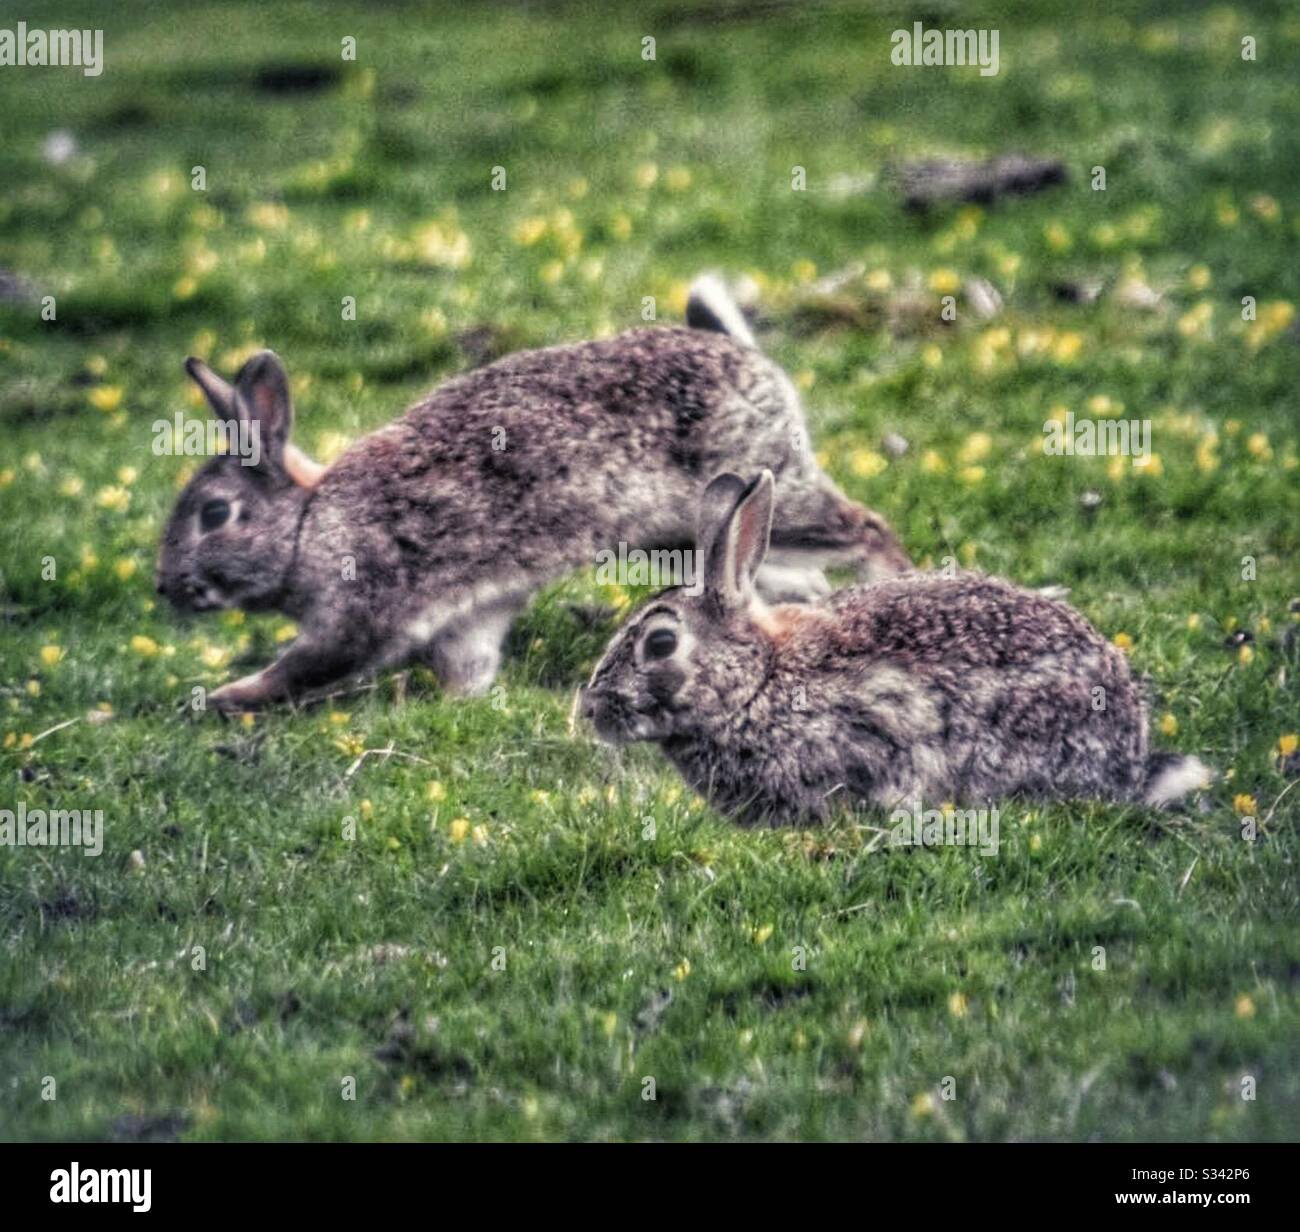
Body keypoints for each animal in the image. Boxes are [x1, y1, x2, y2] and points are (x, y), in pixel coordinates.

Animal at [155, 278, 911, 712]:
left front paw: (226, 696)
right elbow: (467, 663)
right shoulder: (467, 615)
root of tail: (749, 357)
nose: (165, 587)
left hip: (774, 487)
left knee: (866, 526)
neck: (310, 524)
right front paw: (459, 705)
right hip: (696, 528)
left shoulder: (361, 606)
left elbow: (306, 665)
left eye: (215, 514)